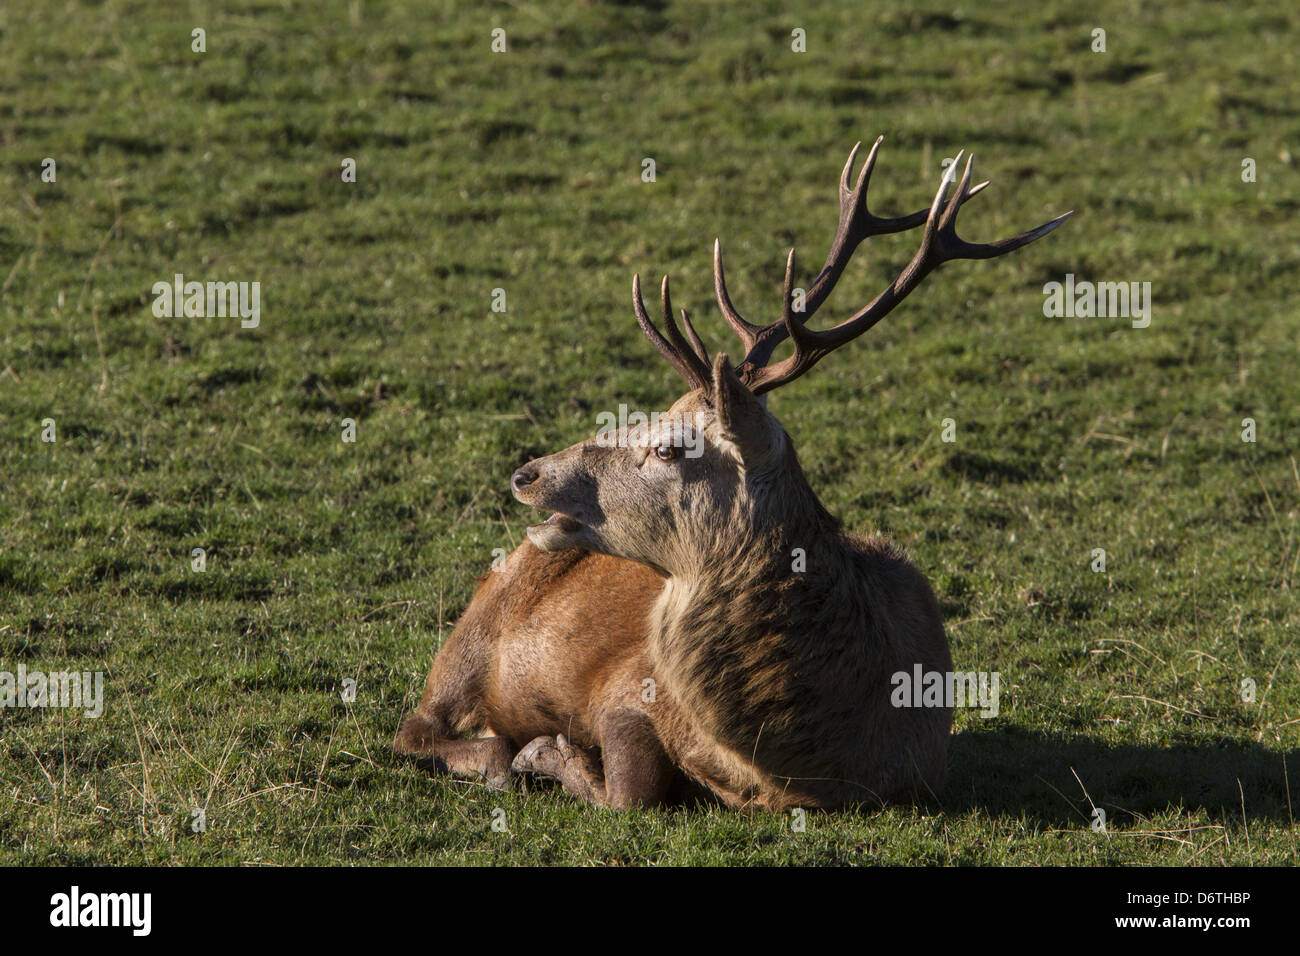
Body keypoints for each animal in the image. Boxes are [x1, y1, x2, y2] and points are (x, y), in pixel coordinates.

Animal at [394, 136, 1070, 810]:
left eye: (669, 448)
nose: (527, 473)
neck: (809, 759)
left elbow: (631, 790)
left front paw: (548, 753)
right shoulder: (626, 688)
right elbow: (631, 788)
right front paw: (547, 752)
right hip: (474, 630)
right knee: (415, 730)